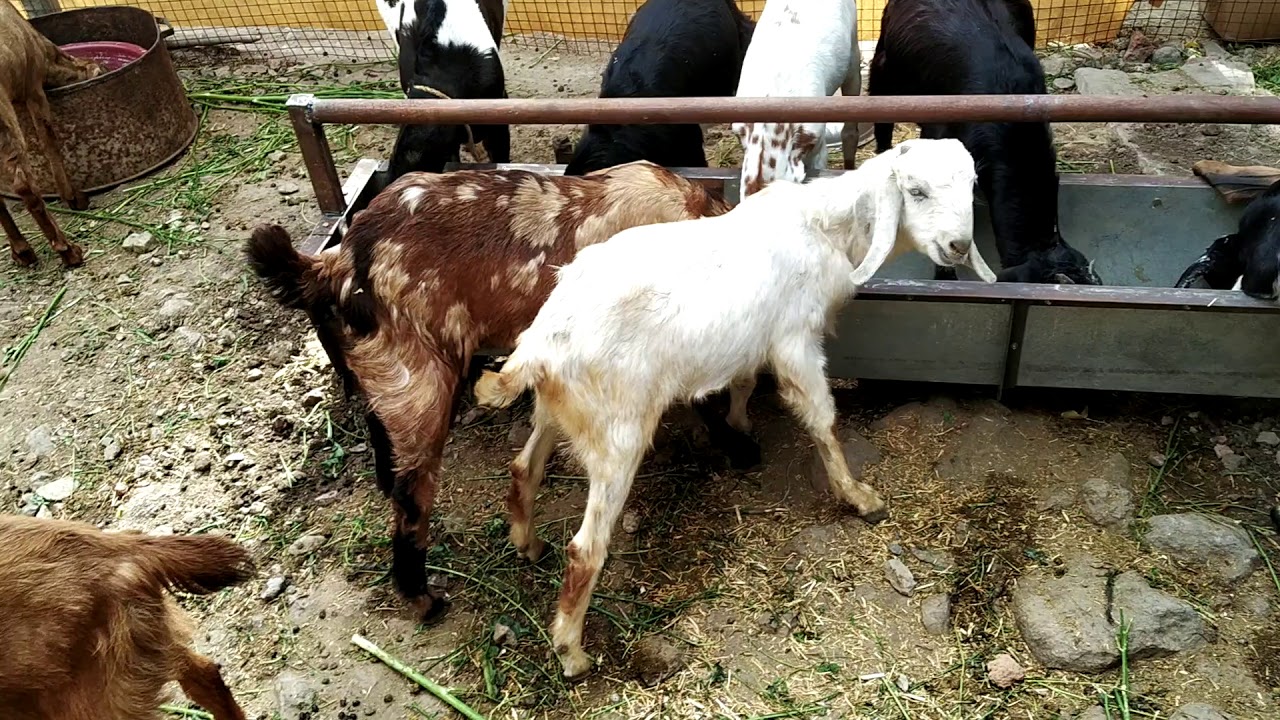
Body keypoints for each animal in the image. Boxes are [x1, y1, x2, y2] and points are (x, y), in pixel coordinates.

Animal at [0, 2, 101, 268]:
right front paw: (74, 198)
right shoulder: (33, 88)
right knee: (23, 182)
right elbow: (49, 139)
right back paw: (68, 251)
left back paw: (22, 251)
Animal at [244, 161, 750, 620]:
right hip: (421, 378)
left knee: (380, 430)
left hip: (383, 369)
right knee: (412, 497)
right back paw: (424, 600)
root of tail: (342, 259)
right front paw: (738, 444)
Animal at [473, 138, 996, 677]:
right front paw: (858, 496)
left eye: (973, 185)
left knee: (523, 468)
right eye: (916, 190)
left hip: (557, 410)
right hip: (618, 433)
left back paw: (527, 543)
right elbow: (822, 420)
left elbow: (744, 381)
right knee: (585, 549)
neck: (824, 226)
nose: (958, 246)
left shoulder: (753, 339)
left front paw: (740, 424)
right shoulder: (795, 342)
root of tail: (539, 346)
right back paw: (572, 652)